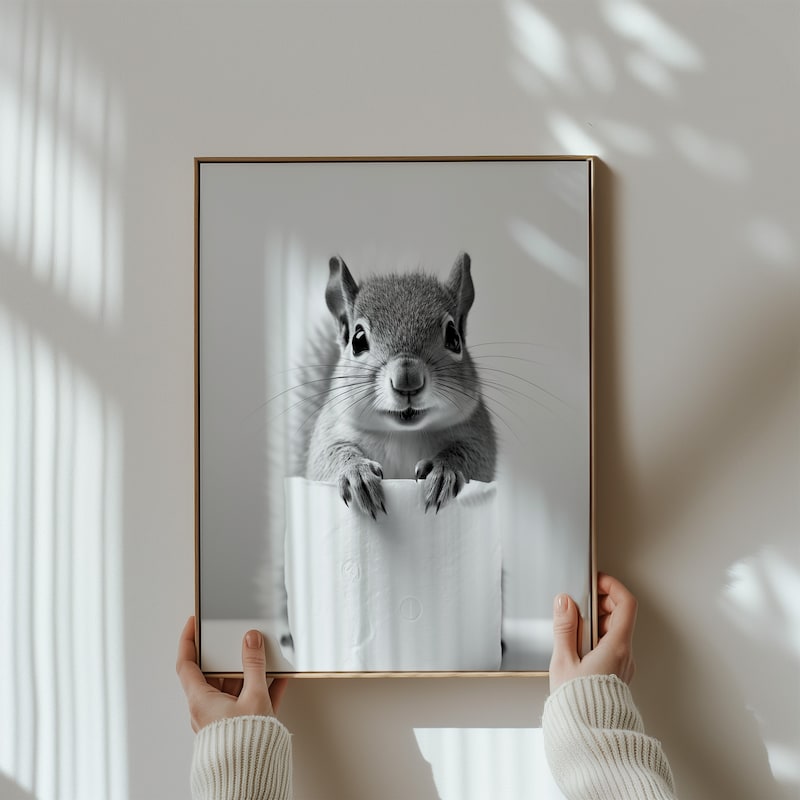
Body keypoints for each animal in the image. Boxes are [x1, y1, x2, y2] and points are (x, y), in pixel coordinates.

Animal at [304, 252, 496, 518]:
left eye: (454, 338)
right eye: (357, 340)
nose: (407, 379)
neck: (402, 434)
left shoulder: (478, 433)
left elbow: (473, 456)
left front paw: (443, 469)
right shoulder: (330, 430)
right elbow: (328, 458)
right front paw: (357, 473)